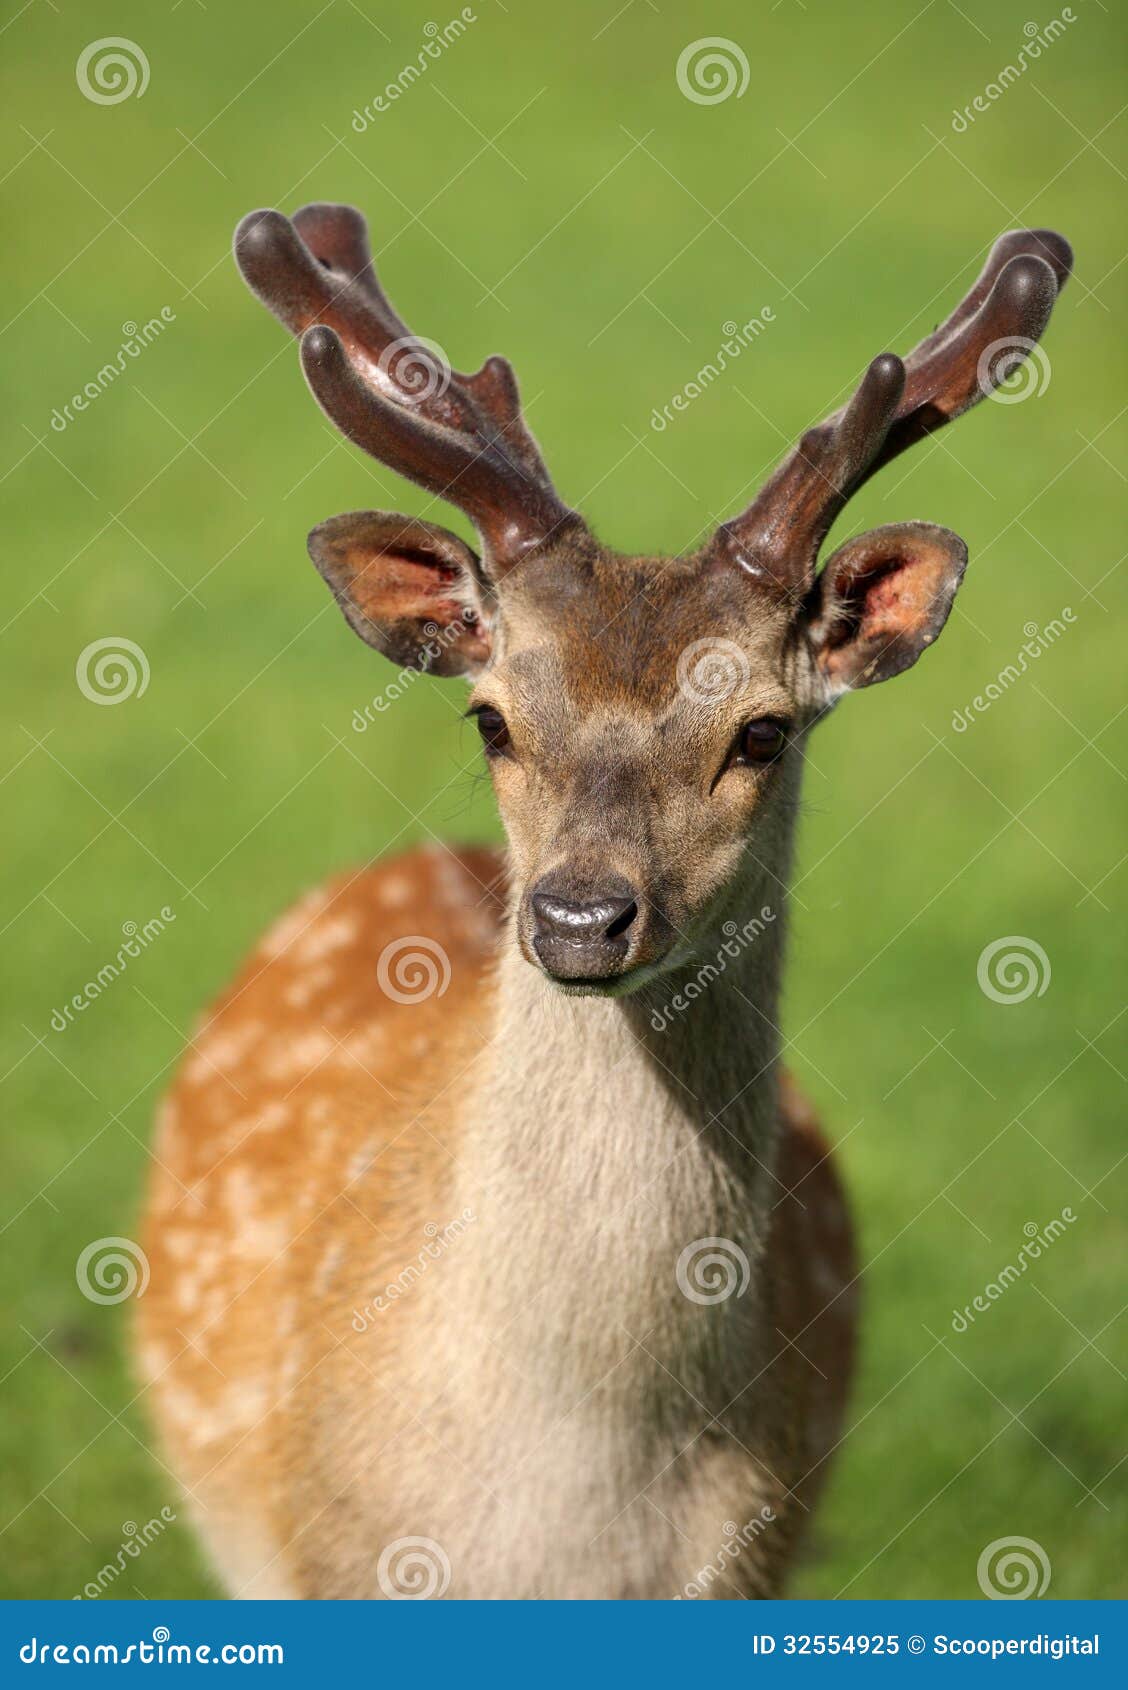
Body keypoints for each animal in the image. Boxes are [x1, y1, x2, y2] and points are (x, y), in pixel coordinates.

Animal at [136, 203, 1070, 1600]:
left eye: (762, 730)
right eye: (491, 717)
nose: (579, 918)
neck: (575, 1520)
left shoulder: (751, 1563)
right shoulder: (329, 1557)